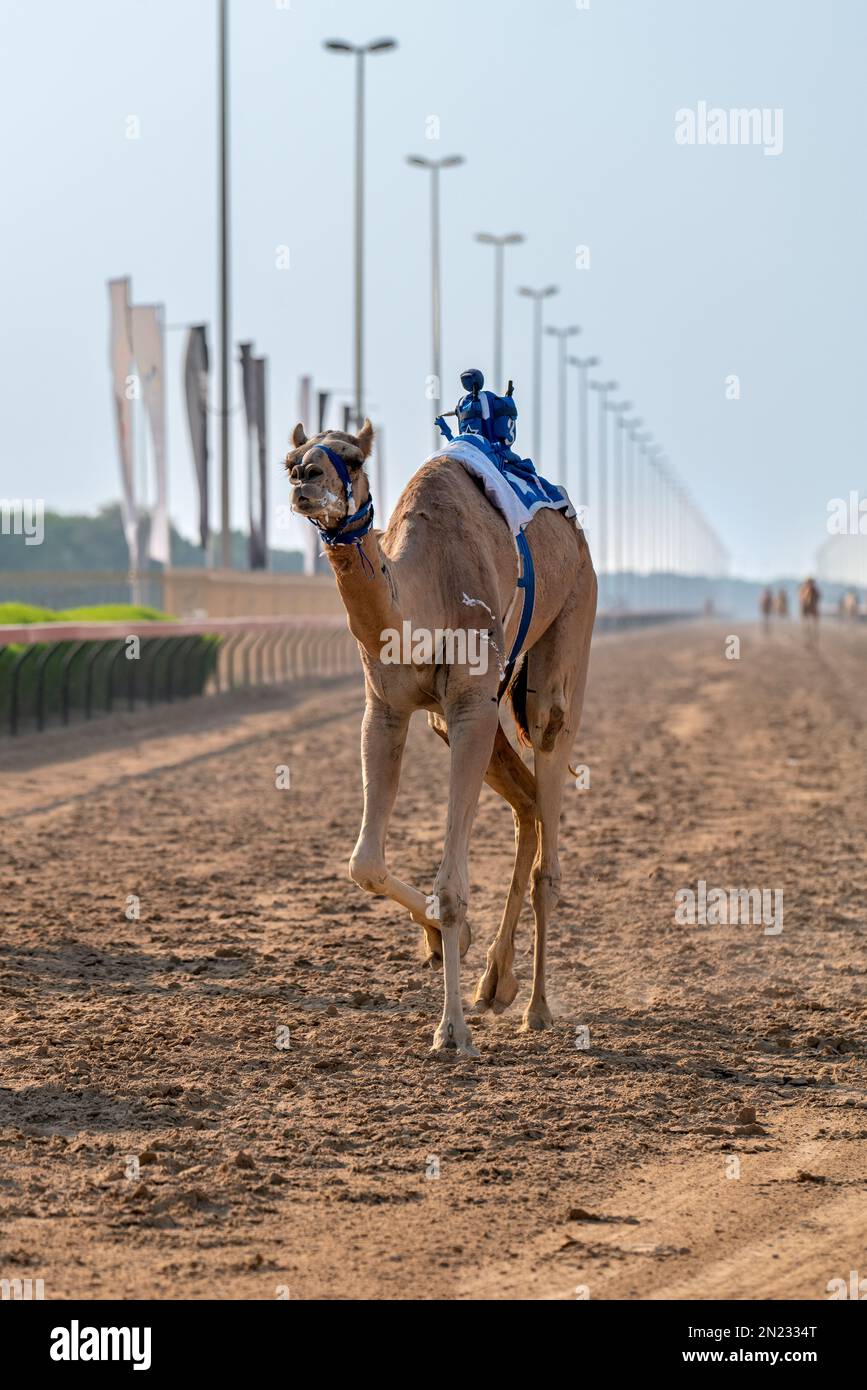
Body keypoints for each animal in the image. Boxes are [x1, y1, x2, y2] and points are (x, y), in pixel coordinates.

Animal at [287, 419, 597, 1056]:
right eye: (289, 460)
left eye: (352, 458)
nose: (307, 478)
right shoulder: (386, 708)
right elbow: (364, 864)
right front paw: (440, 941)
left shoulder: (470, 704)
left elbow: (452, 887)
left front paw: (451, 1031)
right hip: (459, 716)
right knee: (528, 806)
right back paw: (496, 983)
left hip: (569, 628)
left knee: (547, 797)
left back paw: (536, 1007)